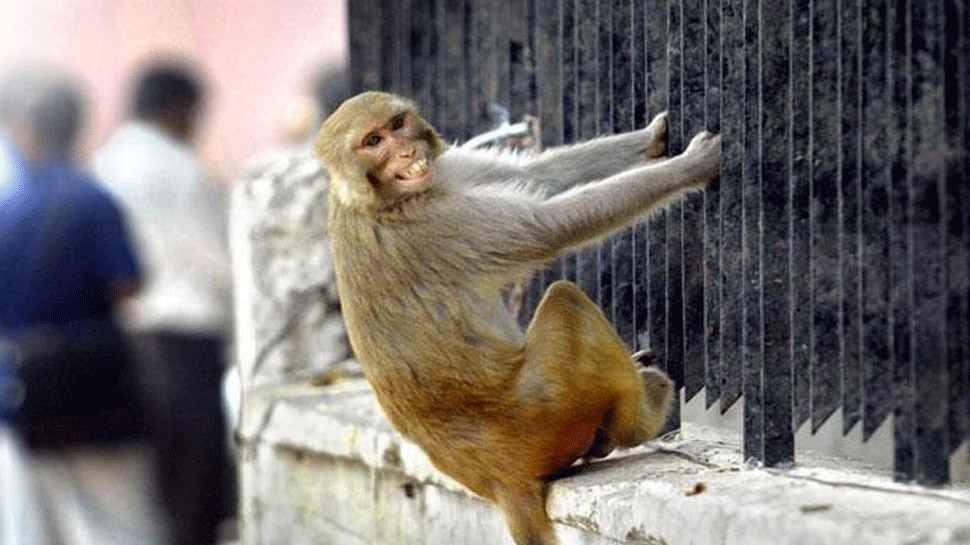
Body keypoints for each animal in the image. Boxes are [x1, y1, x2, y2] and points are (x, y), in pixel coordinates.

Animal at [315, 91, 721, 545]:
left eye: (397, 124)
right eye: (373, 141)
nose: (405, 152)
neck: (374, 198)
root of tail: (500, 480)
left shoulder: (443, 176)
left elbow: (538, 173)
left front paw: (654, 136)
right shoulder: (440, 225)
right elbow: (550, 225)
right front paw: (693, 165)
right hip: (551, 411)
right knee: (565, 302)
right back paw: (640, 420)